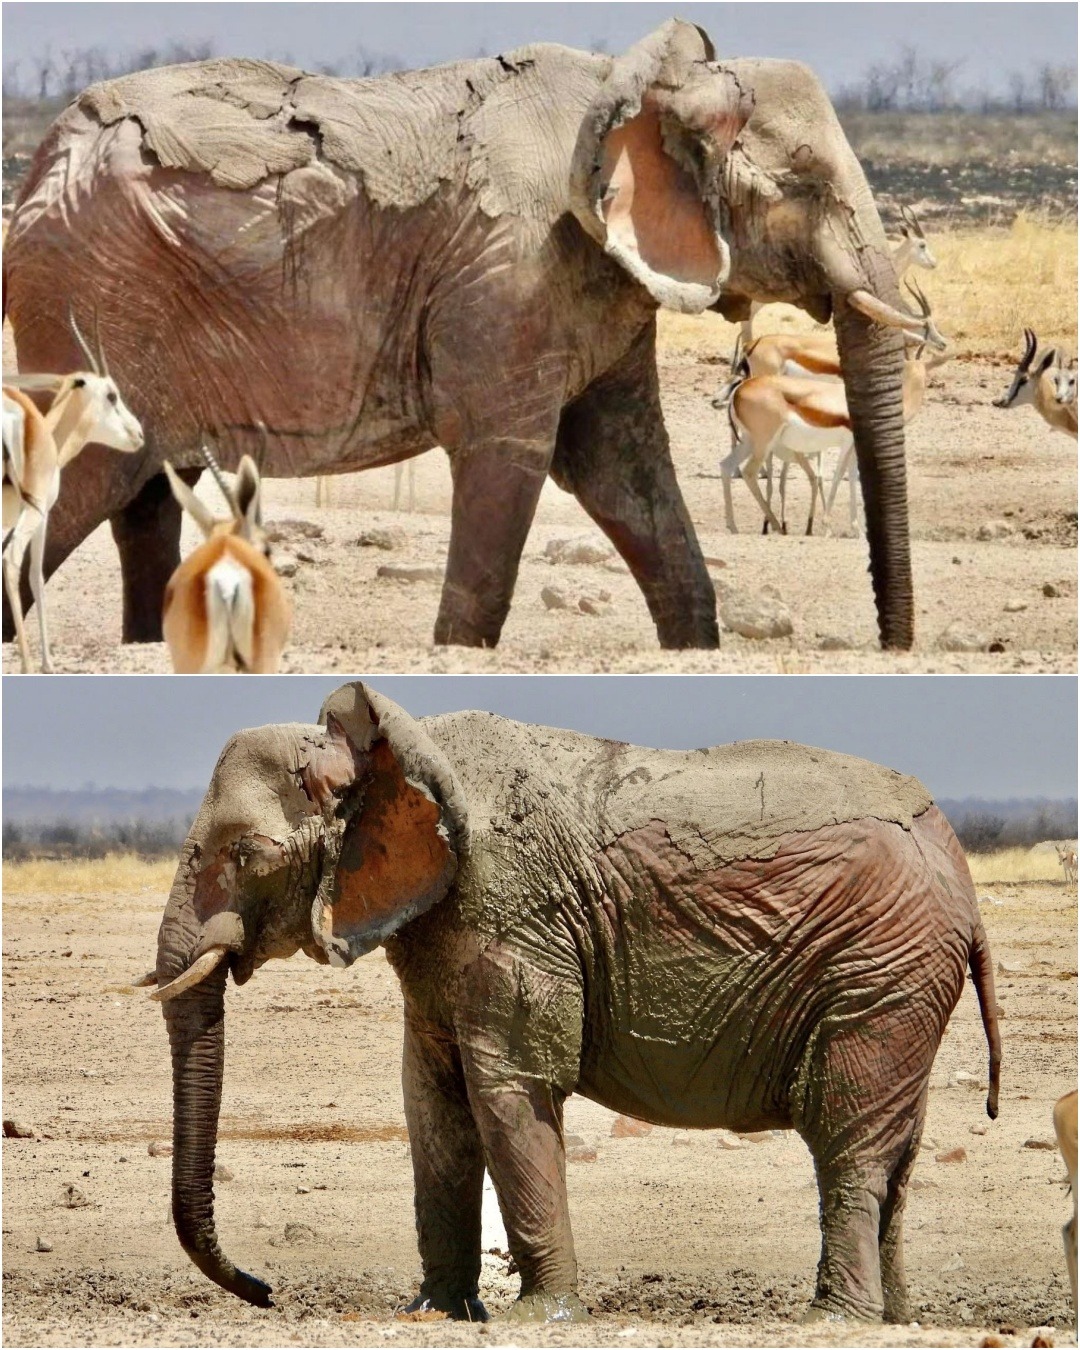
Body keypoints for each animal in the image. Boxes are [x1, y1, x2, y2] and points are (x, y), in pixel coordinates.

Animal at [4, 21, 928, 653]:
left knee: (146, 504)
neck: (637, 86)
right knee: (83, 487)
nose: (891, 644)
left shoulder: (602, 284)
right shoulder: (513, 275)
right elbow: (507, 457)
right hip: (91, 303)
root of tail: (45, 158)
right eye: (806, 185)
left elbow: (623, 471)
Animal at [152, 680, 1001, 1324]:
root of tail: (959, 871)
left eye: (246, 854)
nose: (264, 1291)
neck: (397, 752)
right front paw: (434, 1314)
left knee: (848, 1139)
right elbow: (433, 1103)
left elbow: (510, 1089)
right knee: (897, 1155)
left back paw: (832, 1321)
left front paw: (539, 1316)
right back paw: (893, 1320)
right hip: (901, 975)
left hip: (879, 969)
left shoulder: (517, 915)